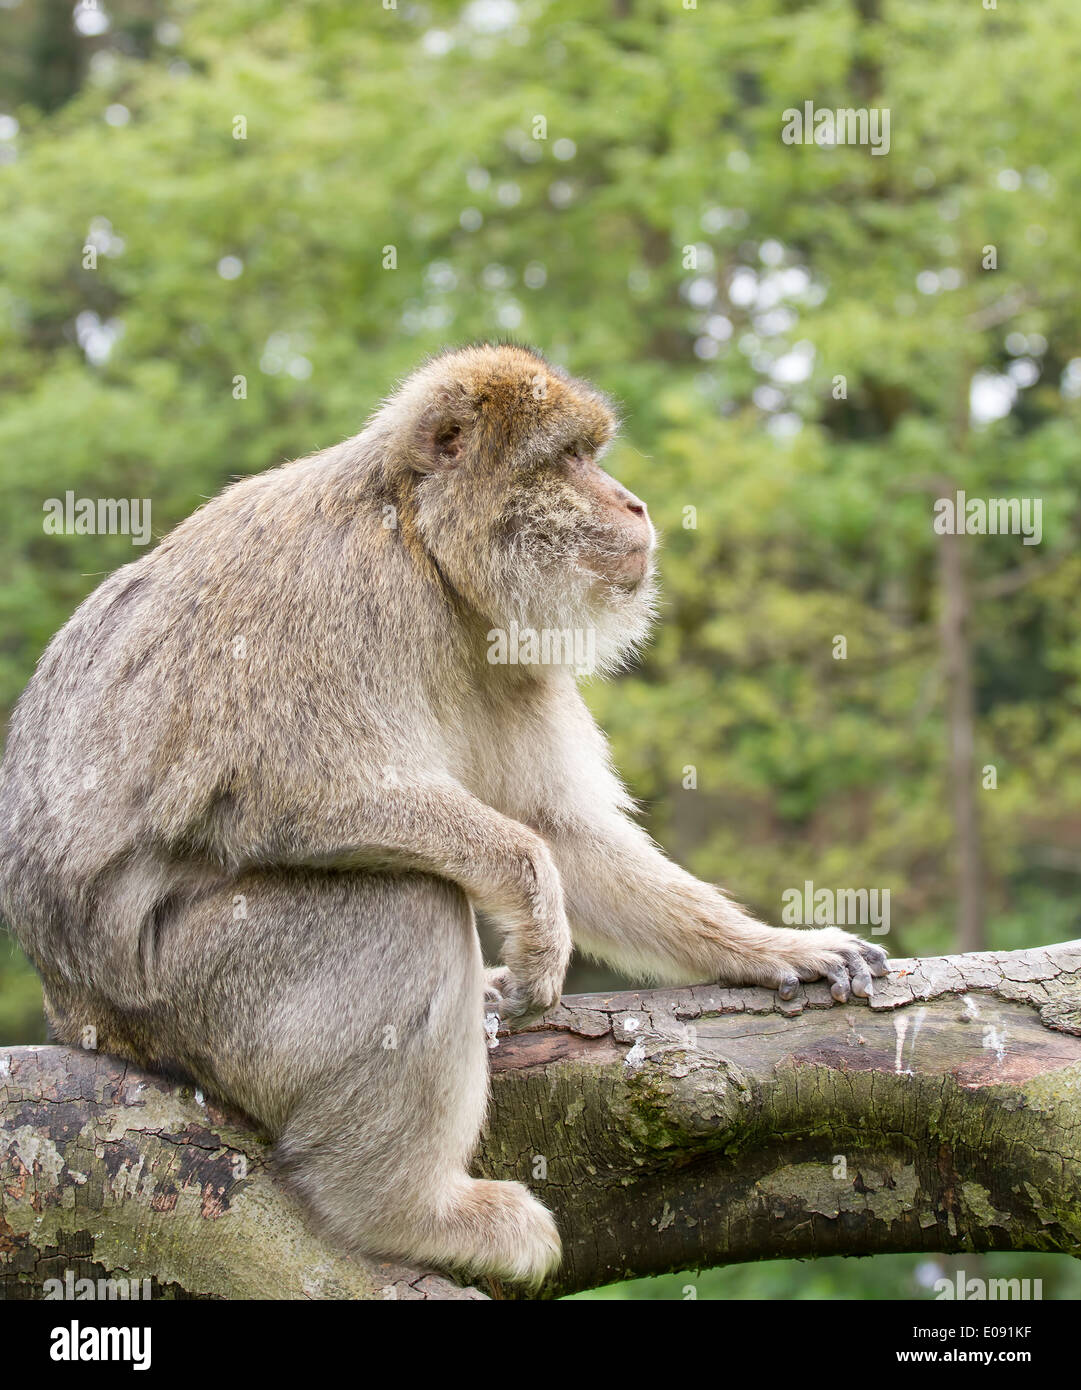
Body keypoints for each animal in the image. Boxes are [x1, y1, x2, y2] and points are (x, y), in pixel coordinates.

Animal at [0, 343, 888, 1288]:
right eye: (570, 459)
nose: (634, 503)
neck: (424, 549)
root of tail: (80, 1014)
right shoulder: (339, 591)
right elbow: (297, 796)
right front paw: (530, 898)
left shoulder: (509, 647)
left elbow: (563, 831)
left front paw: (770, 949)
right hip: (195, 990)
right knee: (405, 903)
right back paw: (406, 1213)